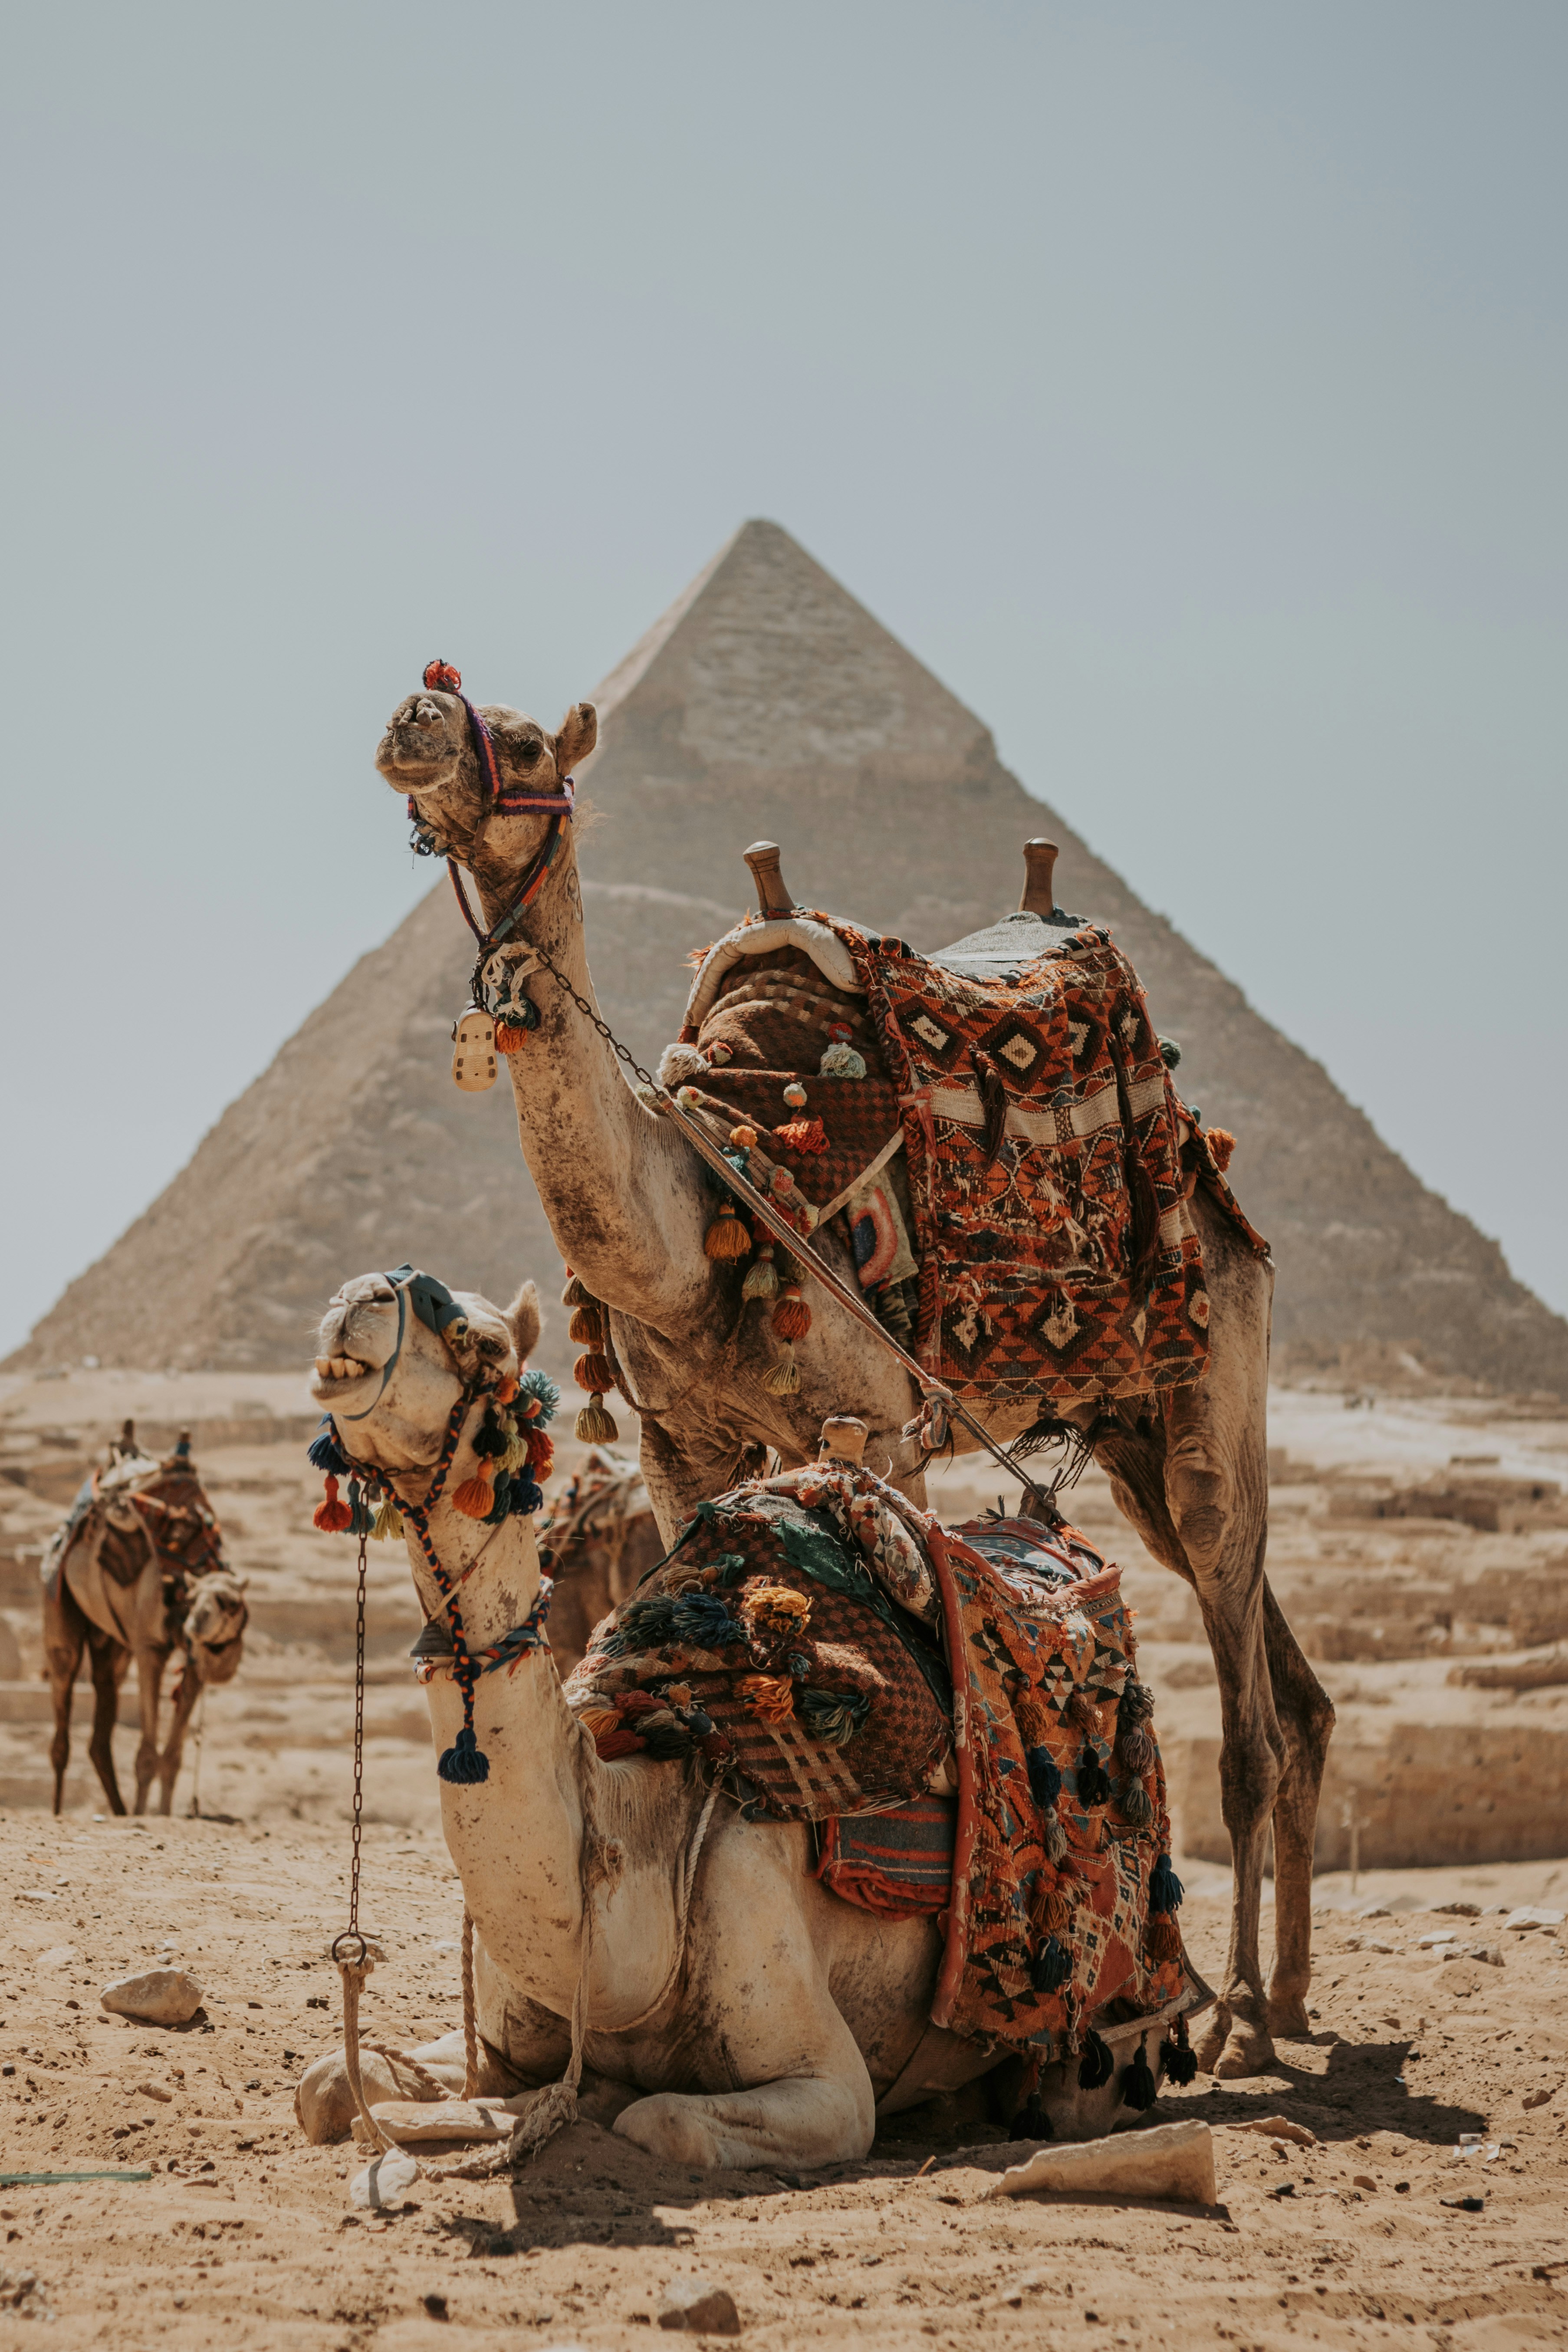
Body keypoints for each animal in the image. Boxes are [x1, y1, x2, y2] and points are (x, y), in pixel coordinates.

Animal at [43, 1423, 250, 1816]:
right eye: (195, 1600)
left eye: (230, 1604)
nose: (197, 1623)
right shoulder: (150, 1647)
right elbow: (147, 1755)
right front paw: (145, 1814)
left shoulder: (194, 1662)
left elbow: (173, 1757)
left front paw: (164, 1812)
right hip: (60, 1604)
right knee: (64, 1689)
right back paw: (60, 1810)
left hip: (113, 1642)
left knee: (102, 1715)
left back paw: (119, 1808)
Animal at [295, 1269, 1197, 2167]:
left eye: (486, 1342)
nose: (363, 1296)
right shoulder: (495, 2037)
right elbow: (329, 2081)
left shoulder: (828, 2083)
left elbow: (654, 2117)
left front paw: (581, 2101)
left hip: (1104, 2026)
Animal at [372, 679, 1334, 2079]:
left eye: (533, 738)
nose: (417, 718)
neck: (704, 1205)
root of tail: (1207, 1170)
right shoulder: (682, 1442)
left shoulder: (879, 1422)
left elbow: (929, 1612)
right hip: (1134, 1446)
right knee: (1295, 1688)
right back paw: (1288, 1996)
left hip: (1213, 1382)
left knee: (1250, 1711)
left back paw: (1241, 2022)